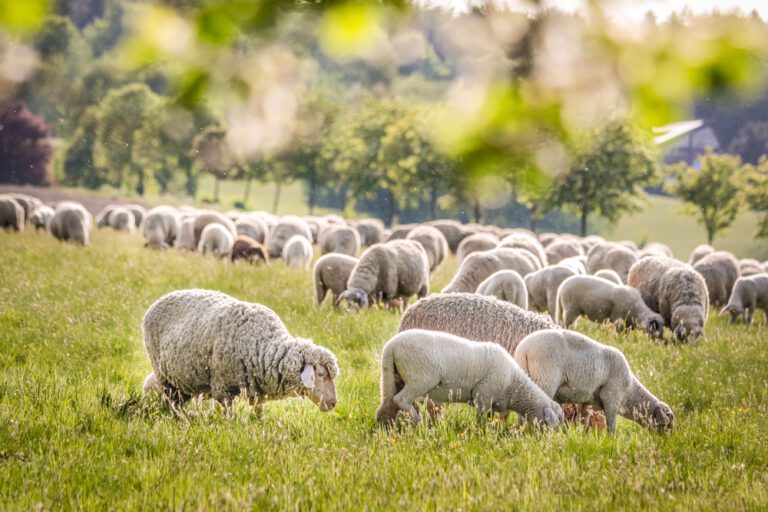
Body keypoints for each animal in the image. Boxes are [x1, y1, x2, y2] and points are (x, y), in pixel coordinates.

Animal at [142, 289, 339, 412]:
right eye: (320, 375)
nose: (333, 403)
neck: (262, 346)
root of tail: (158, 301)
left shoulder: (259, 389)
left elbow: (259, 412)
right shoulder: (223, 388)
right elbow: (229, 415)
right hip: (164, 375)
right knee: (174, 405)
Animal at [375, 329, 564, 427]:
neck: (514, 386)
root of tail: (391, 346)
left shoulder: (491, 401)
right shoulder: (483, 396)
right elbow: (481, 418)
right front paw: (482, 432)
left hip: (395, 378)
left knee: (388, 403)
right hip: (420, 379)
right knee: (401, 399)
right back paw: (417, 422)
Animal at [514, 329, 674, 433]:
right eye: (667, 424)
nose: (667, 442)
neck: (630, 392)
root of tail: (525, 349)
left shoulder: (586, 400)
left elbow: (583, 419)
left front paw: (580, 435)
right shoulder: (612, 399)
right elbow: (611, 426)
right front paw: (610, 441)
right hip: (545, 378)